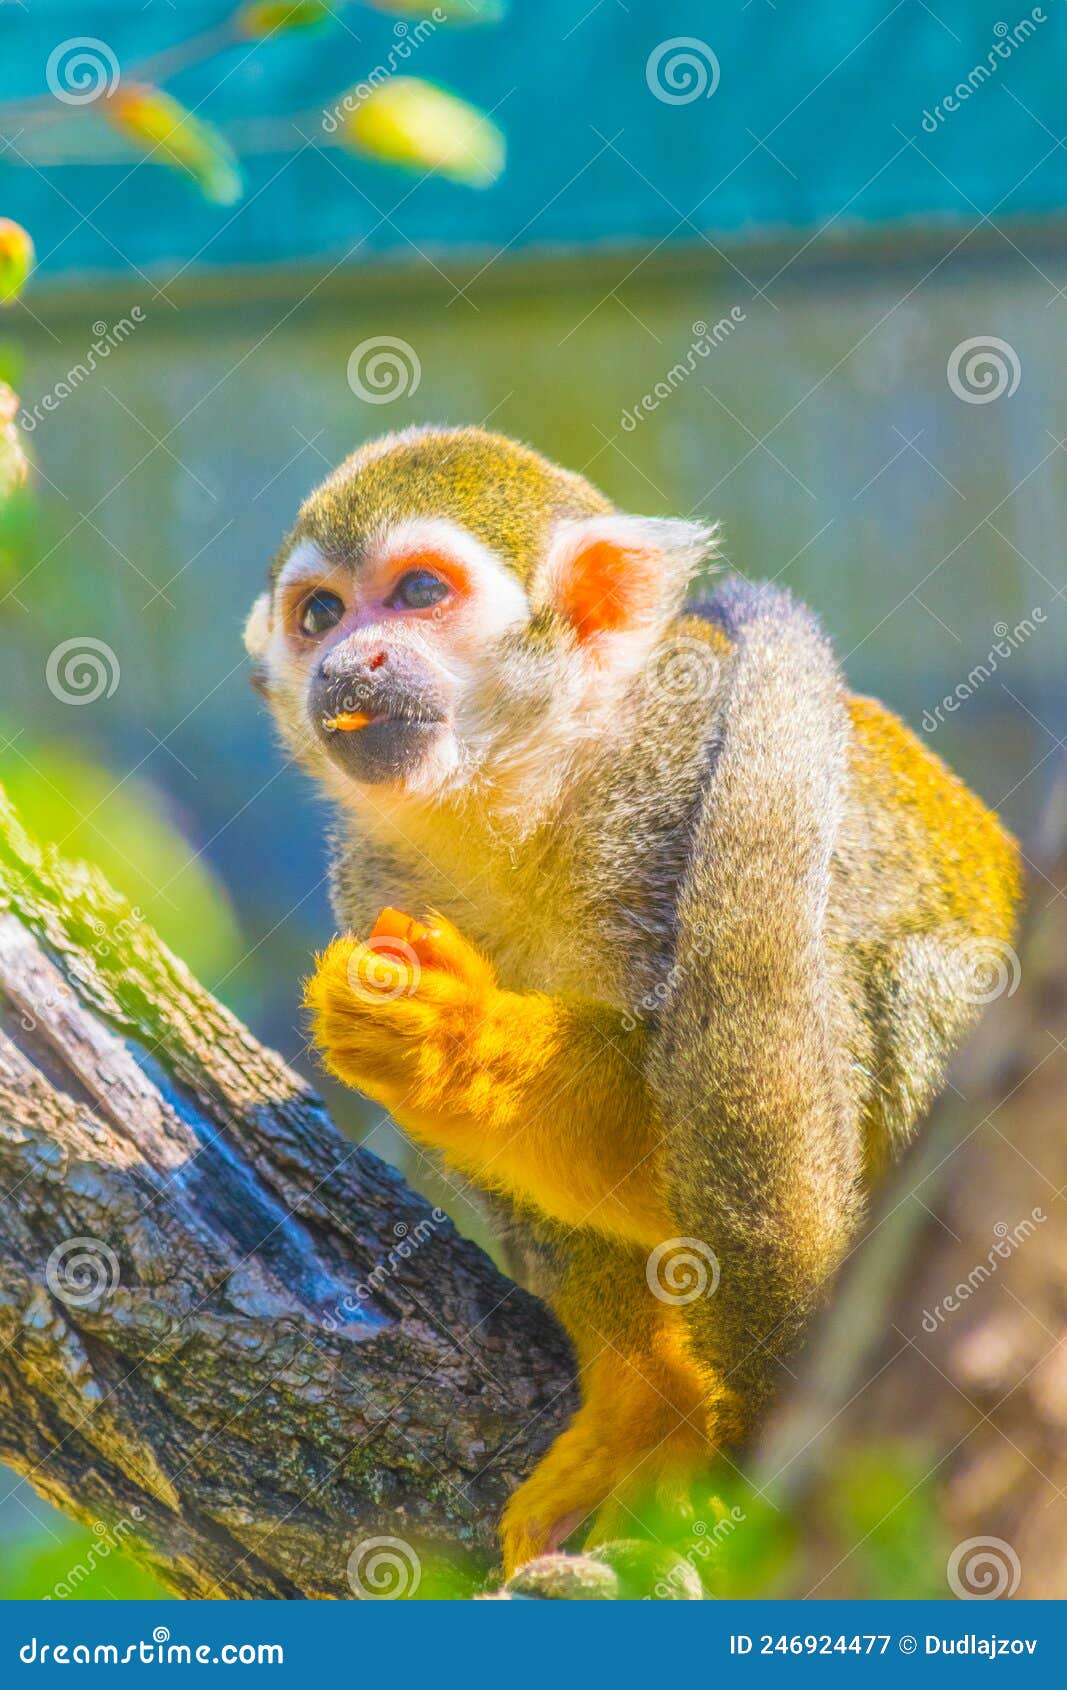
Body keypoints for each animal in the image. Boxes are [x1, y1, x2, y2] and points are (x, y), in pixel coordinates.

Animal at [244, 425, 1020, 1579]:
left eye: (419, 591)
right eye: (319, 614)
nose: (350, 661)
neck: (533, 786)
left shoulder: (686, 772)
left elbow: (749, 1128)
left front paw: (459, 1040)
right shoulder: (373, 875)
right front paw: (642, 1408)